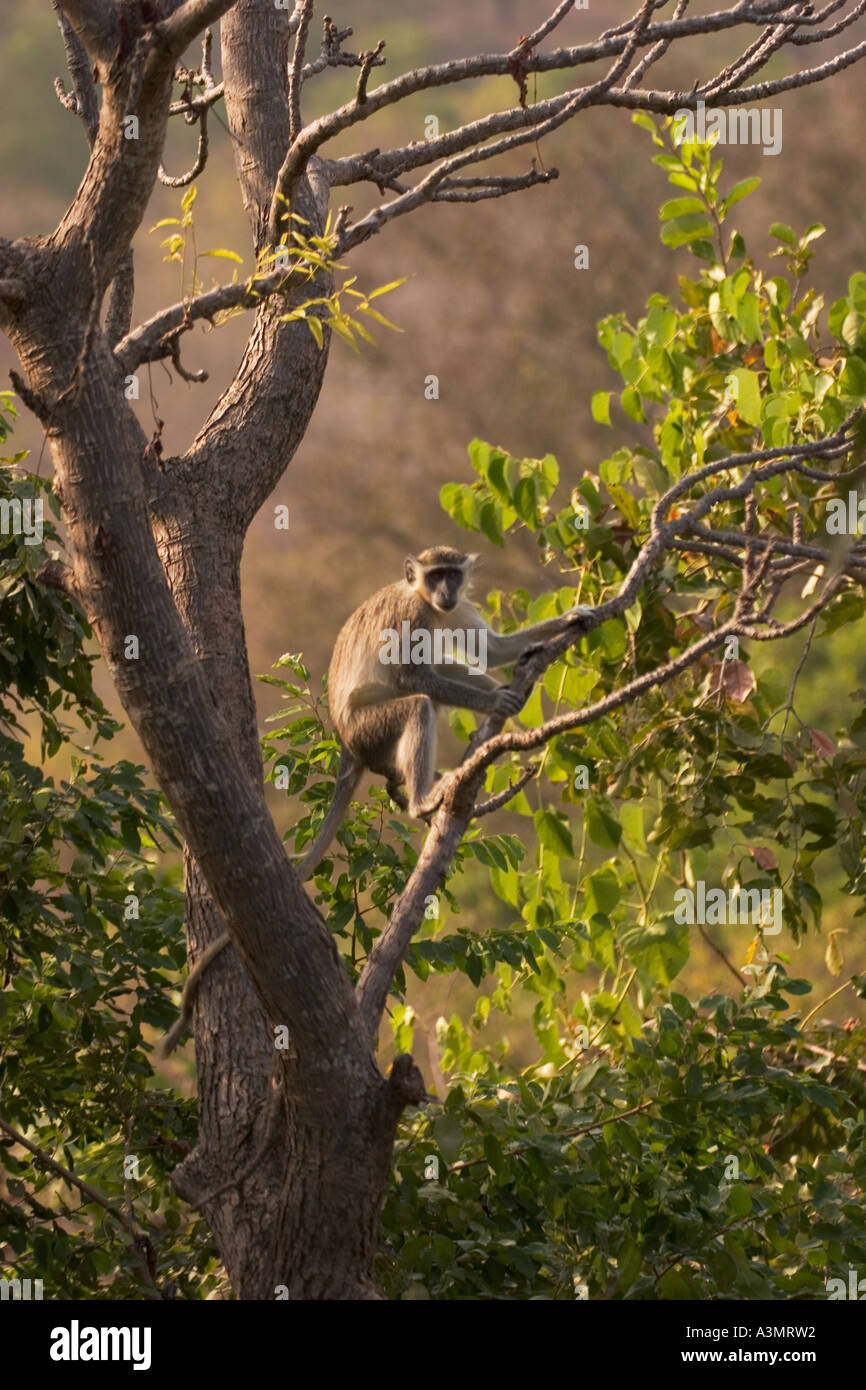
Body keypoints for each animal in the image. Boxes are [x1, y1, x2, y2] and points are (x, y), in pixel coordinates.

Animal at [161, 546, 591, 1055]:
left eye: (452, 574)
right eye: (435, 575)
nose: (446, 592)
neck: (424, 600)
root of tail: (347, 743)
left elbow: (493, 649)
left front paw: (572, 618)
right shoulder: (412, 618)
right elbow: (412, 673)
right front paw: (495, 703)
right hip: (371, 728)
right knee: (419, 699)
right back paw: (423, 796)